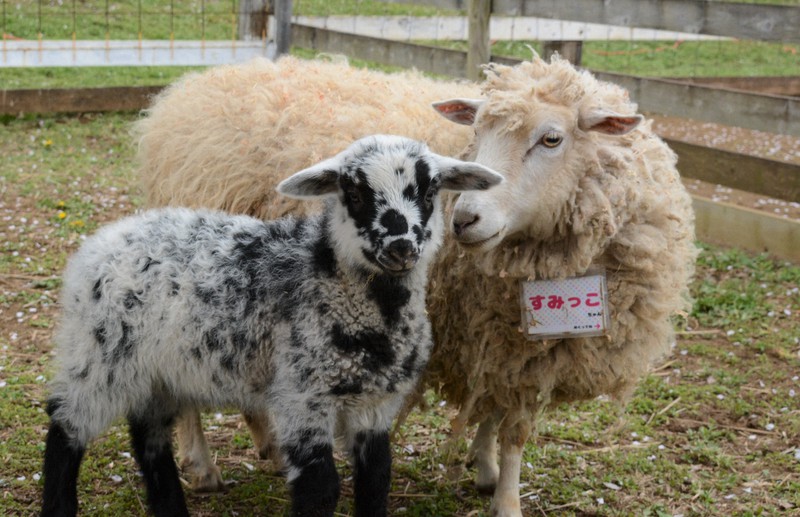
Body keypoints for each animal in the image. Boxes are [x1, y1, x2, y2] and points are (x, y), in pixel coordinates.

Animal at [41, 134, 503, 517]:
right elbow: (320, 488)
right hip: (100, 355)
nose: (401, 246)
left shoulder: (375, 405)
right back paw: (60, 506)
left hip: (158, 370)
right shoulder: (302, 396)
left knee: (148, 438)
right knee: (66, 427)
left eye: (429, 190)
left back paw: (171, 509)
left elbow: (376, 482)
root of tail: (103, 240)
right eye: (353, 192)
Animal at [134, 55, 697, 516]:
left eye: (552, 138)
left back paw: (269, 447)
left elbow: (498, 416)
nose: (465, 218)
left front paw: (486, 468)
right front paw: (507, 501)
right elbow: (514, 431)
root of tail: (195, 84)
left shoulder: (509, 341)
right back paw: (204, 467)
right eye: (477, 132)